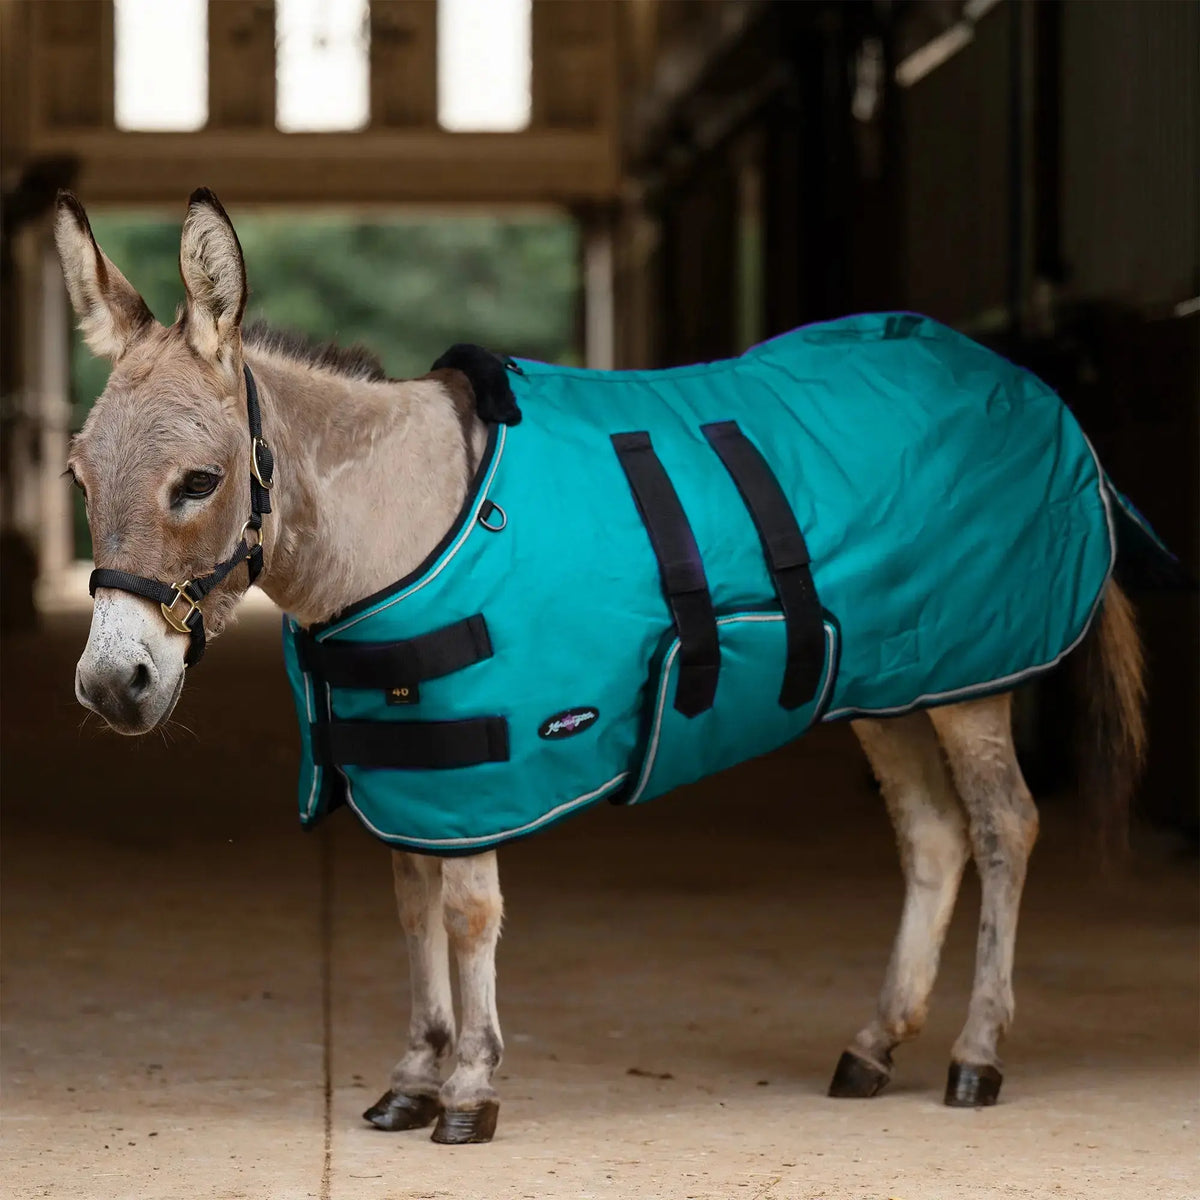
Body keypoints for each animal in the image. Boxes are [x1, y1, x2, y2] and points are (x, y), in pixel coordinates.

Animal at [55, 187, 1148, 1145]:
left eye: (198, 483)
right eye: (77, 477)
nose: (111, 686)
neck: (400, 526)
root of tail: (1022, 385)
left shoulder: (475, 764)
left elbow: (467, 913)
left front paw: (470, 1089)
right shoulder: (407, 756)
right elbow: (412, 908)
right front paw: (413, 1077)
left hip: (974, 685)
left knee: (1004, 827)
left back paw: (977, 1054)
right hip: (891, 679)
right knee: (932, 836)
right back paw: (874, 1046)